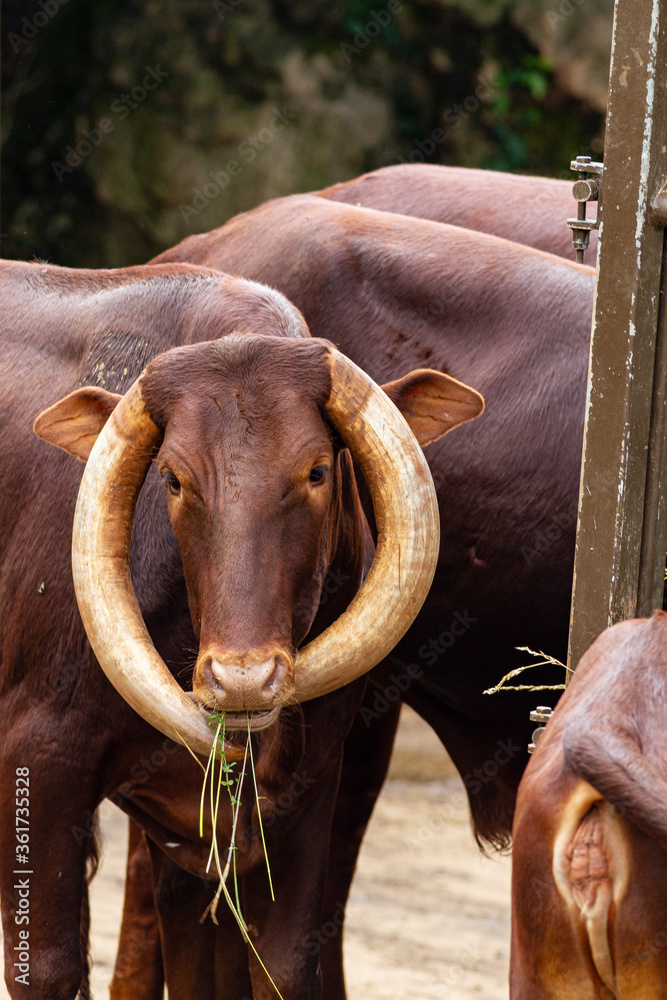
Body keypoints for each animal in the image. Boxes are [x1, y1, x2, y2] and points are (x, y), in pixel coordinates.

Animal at [0, 256, 482, 999]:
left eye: (317, 470)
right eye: (171, 478)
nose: (243, 681)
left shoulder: (290, 802)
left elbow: (273, 964)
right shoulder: (39, 765)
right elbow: (47, 969)